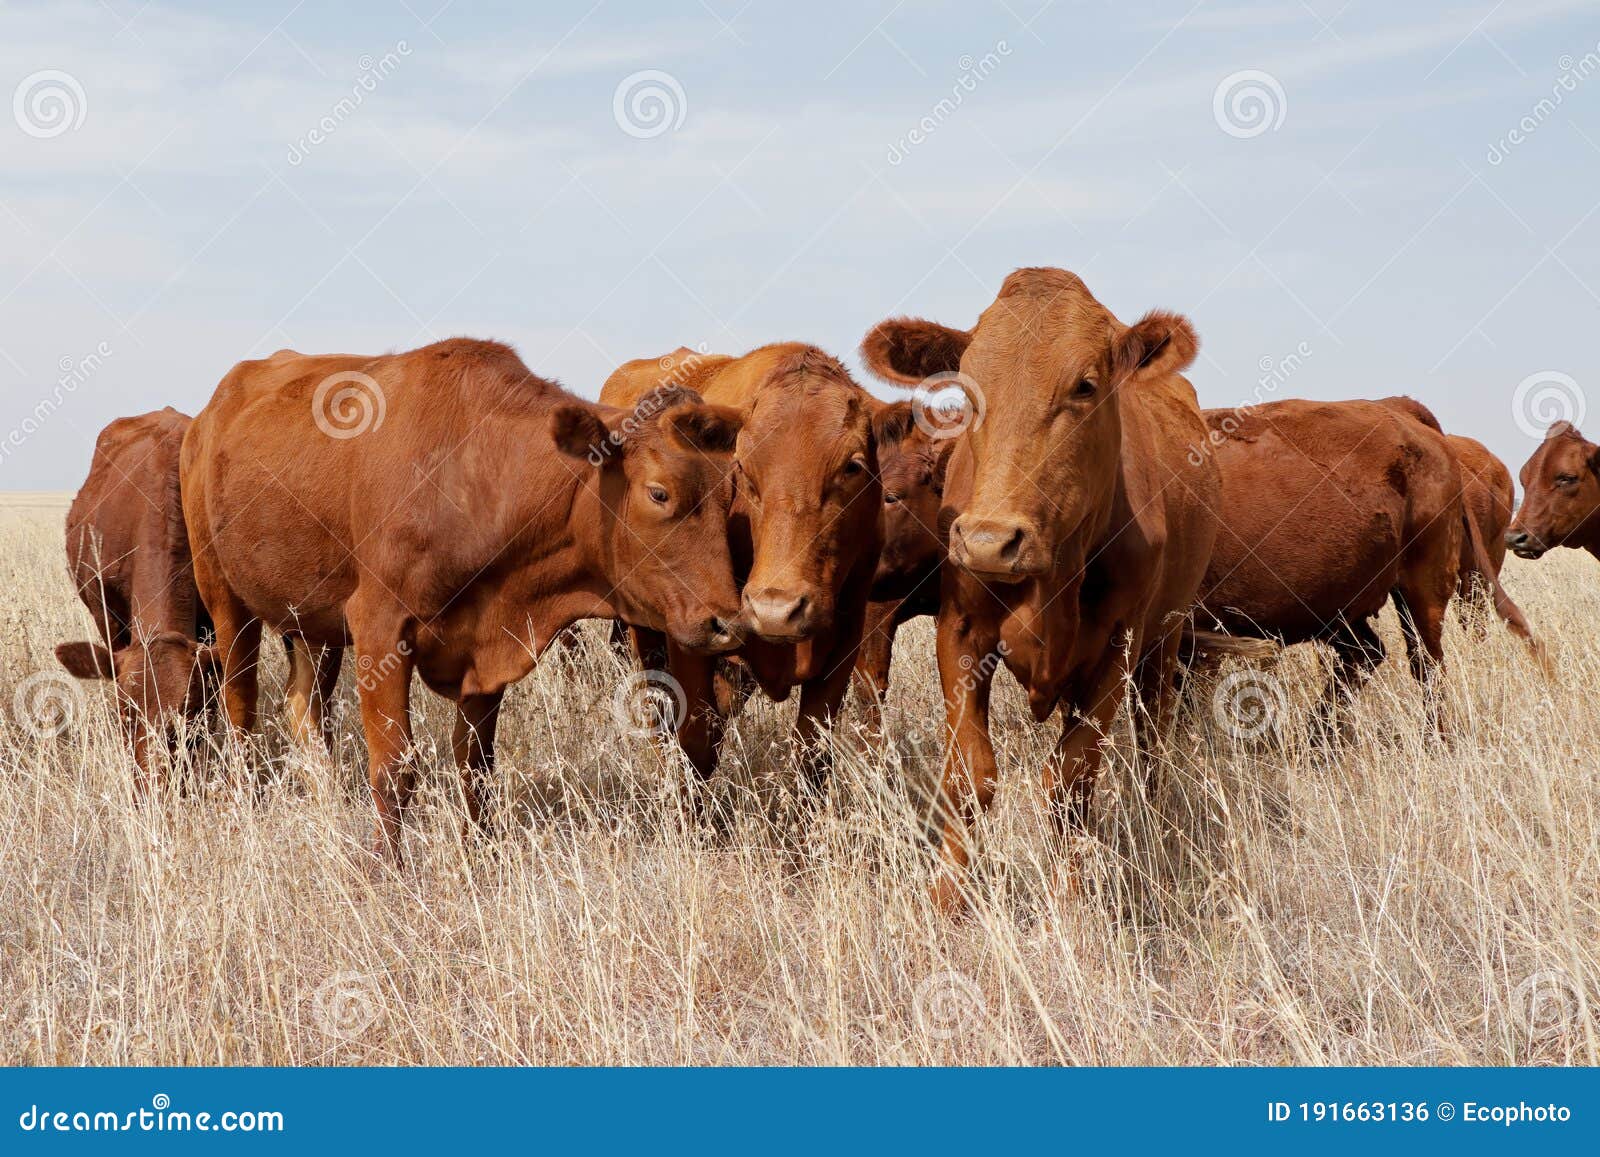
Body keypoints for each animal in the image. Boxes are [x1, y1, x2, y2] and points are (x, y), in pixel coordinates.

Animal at [181, 339, 746, 862]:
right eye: (659, 493)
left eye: (729, 494)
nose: (726, 622)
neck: (473, 476)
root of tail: (207, 414)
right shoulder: (379, 626)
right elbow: (395, 766)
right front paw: (388, 870)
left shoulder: (485, 644)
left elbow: (475, 764)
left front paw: (481, 853)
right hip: (224, 597)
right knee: (240, 706)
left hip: (311, 625)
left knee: (305, 711)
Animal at [600, 342, 911, 795]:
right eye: (742, 467)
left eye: (853, 466)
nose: (775, 610)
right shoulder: (690, 641)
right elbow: (696, 746)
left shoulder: (844, 648)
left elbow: (812, 759)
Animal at [862, 267, 1226, 912]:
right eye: (966, 395)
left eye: (1085, 386)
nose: (989, 541)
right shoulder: (958, 632)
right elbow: (971, 774)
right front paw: (946, 899)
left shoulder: (1118, 646)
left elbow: (1072, 780)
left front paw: (1072, 900)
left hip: (1166, 638)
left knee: (1155, 738)